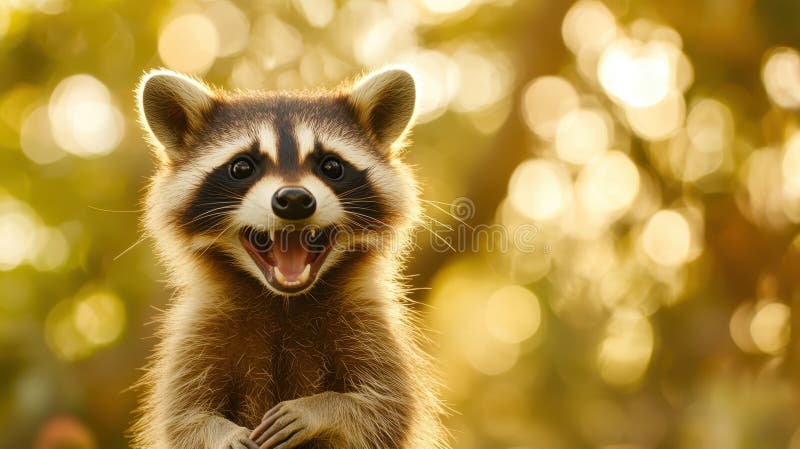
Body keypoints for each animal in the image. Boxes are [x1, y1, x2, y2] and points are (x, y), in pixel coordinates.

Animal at [129, 67, 447, 449]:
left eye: (331, 167)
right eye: (241, 168)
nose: (294, 199)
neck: (283, 301)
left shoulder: (372, 326)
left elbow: (385, 410)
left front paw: (319, 409)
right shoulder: (196, 331)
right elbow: (184, 420)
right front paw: (223, 434)